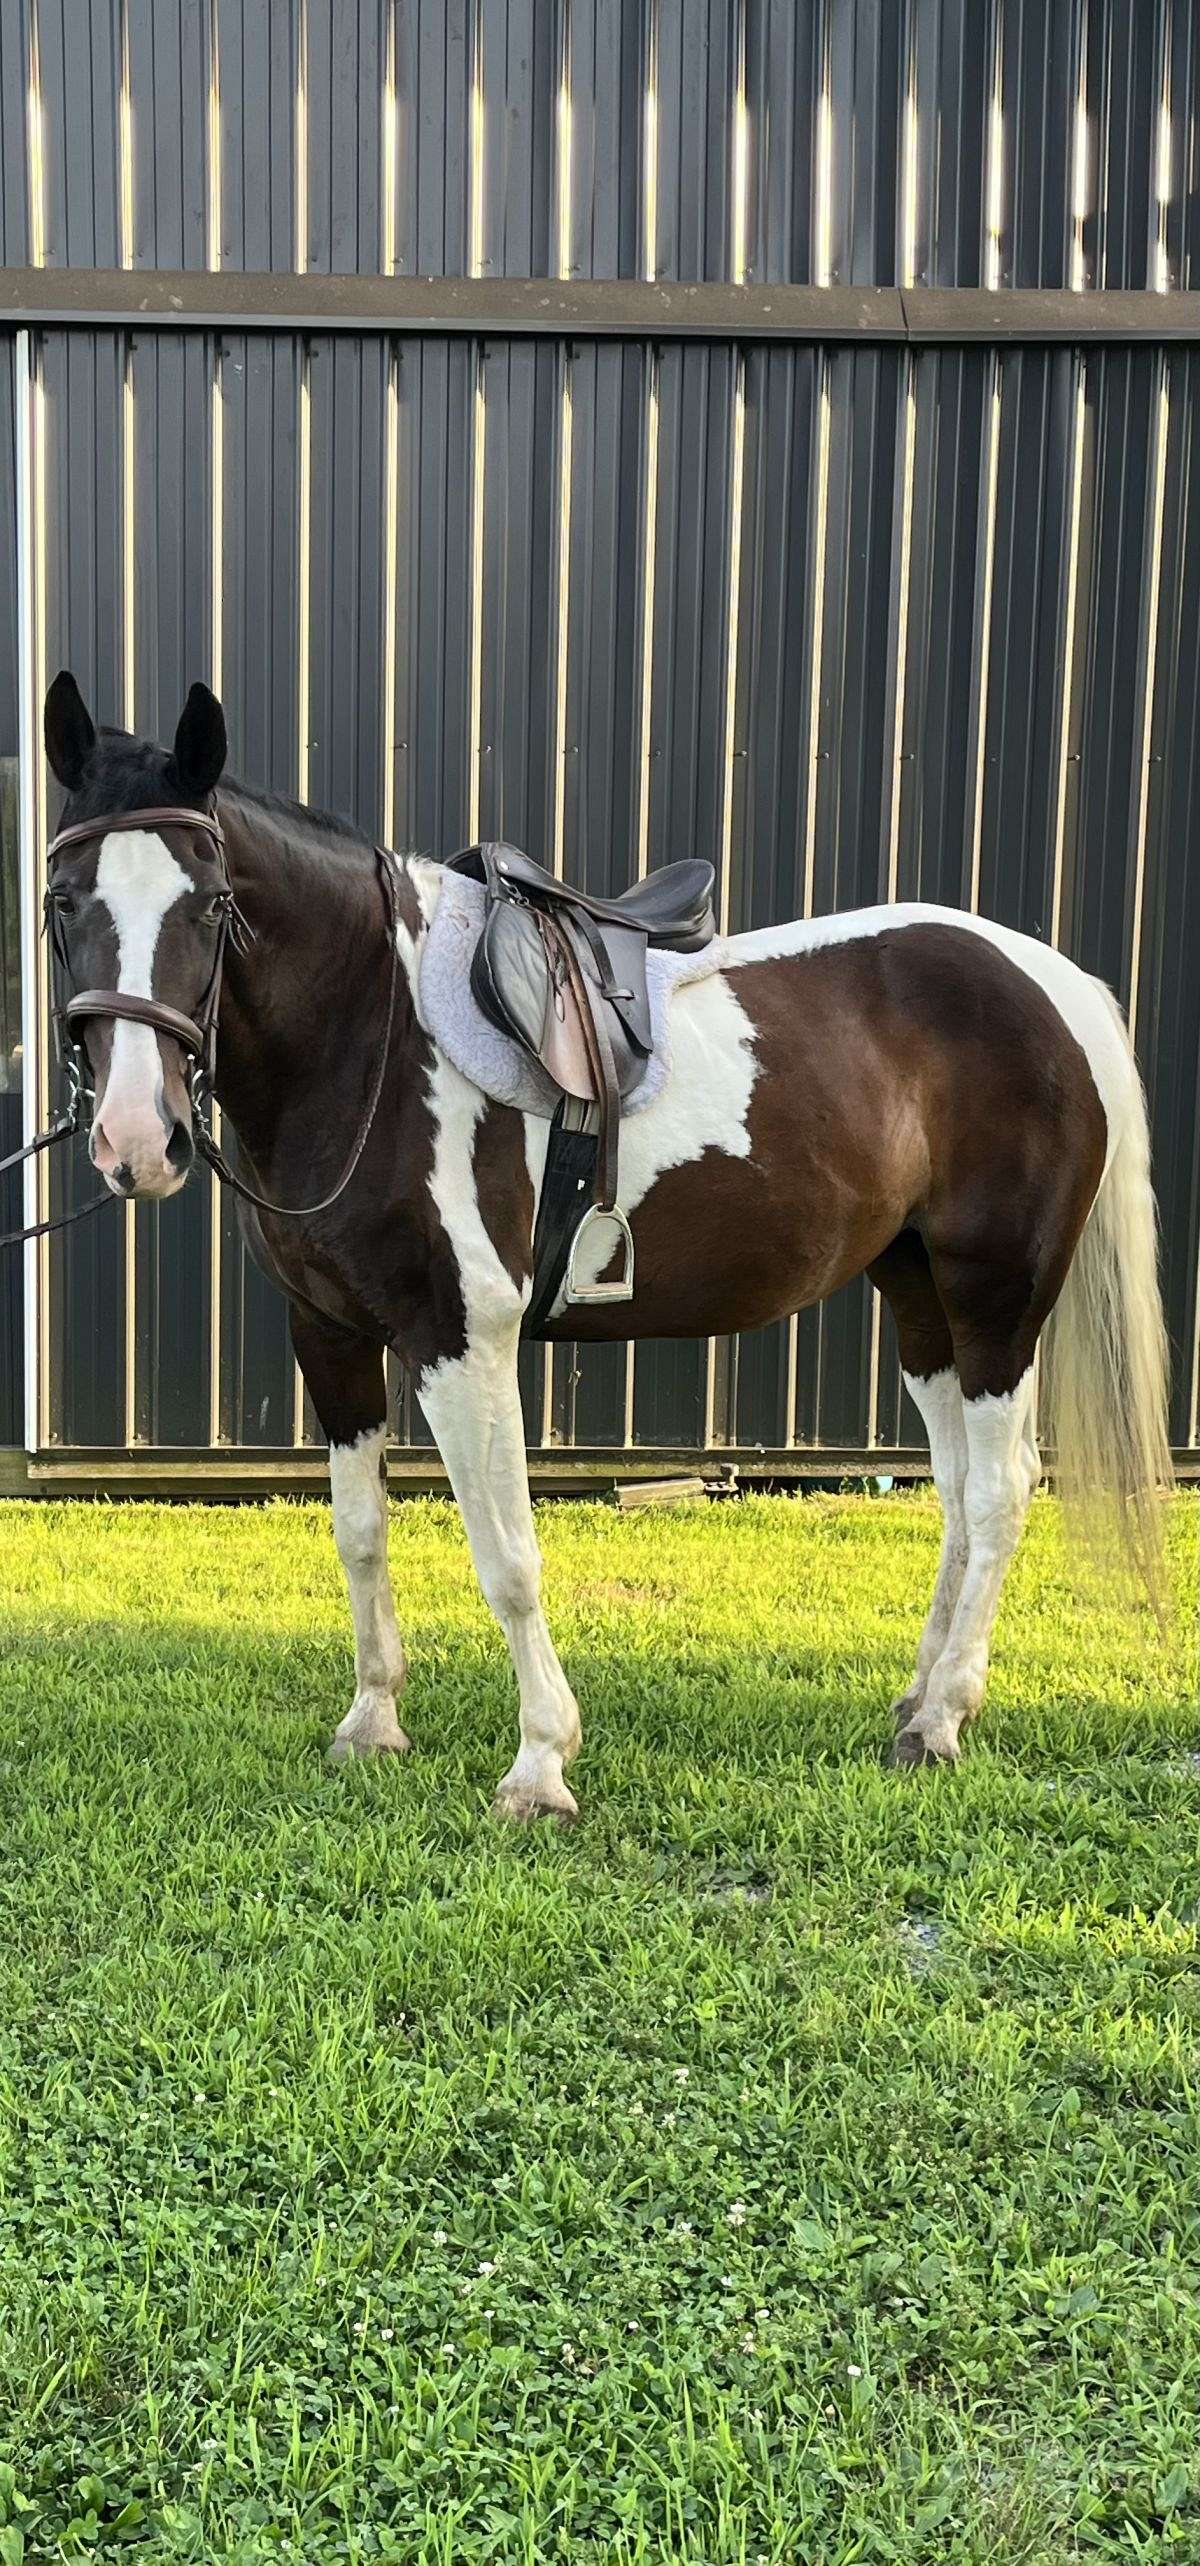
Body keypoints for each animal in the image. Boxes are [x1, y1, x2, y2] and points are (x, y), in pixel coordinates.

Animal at [38, 669, 1172, 1819]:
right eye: (61, 901)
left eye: (211, 905)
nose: (137, 1140)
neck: (375, 1040)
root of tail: (1057, 981)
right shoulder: (330, 1333)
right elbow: (359, 1533)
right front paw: (372, 1724)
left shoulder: (461, 1338)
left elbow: (507, 1556)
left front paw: (540, 1764)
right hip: (920, 1296)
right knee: (953, 1489)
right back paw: (917, 1697)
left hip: (999, 1299)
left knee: (1000, 1487)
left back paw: (943, 1719)